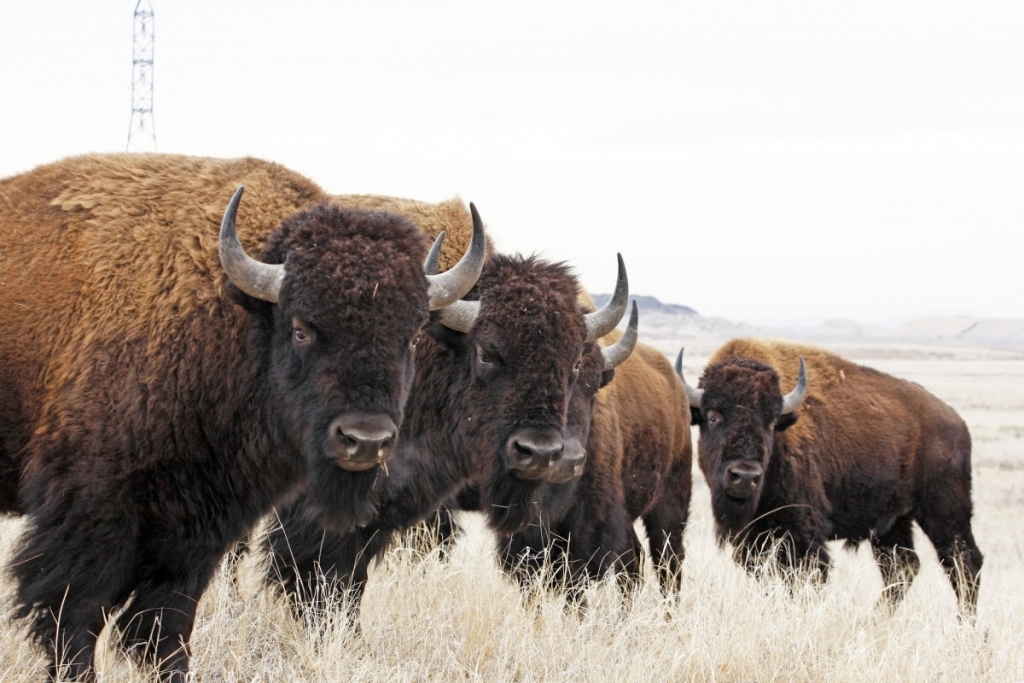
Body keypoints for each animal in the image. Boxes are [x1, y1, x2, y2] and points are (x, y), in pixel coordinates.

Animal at [0, 153, 484, 680]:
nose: (366, 440)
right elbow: (76, 613)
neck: (232, 316)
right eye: (301, 329)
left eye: (413, 337)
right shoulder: (91, 508)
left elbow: (167, 621)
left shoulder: (197, 526)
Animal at [677, 338, 983, 615]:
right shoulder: (753, 539)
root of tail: (957, 422)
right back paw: (875, 619)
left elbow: (807, 580)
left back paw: (966, 627)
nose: (744, 476)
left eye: (772, 422)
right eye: (713, 416)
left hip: (945, 512)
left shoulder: (802, 534)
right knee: (902, 566)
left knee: (965, 563)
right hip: (893, 522)